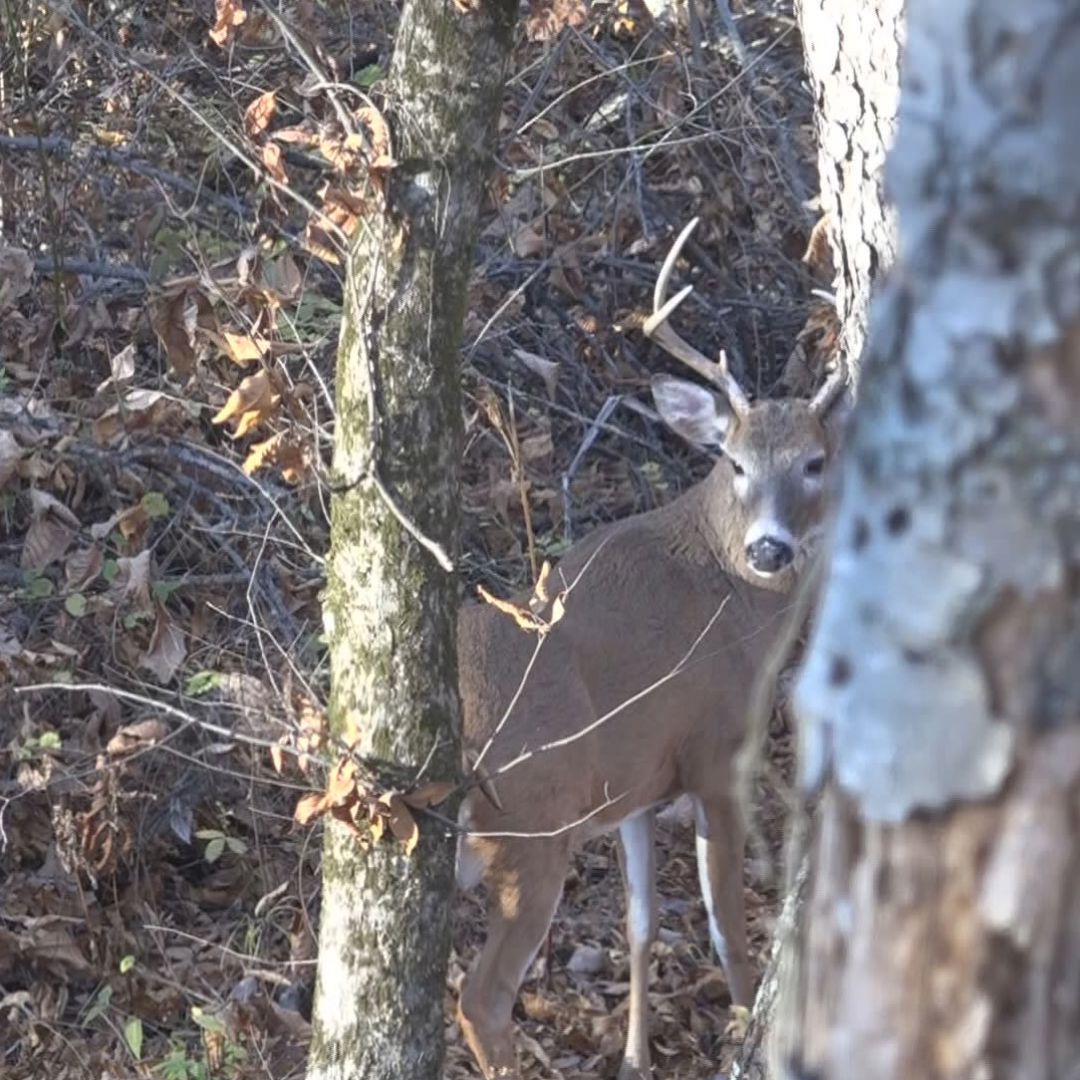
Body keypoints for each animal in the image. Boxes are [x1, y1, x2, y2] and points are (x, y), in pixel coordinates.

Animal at [455, 218, 846, 1080]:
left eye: (817, 462)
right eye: (734, 461)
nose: (770, 549)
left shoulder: (635, 785)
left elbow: (640, 923)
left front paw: (635, 1055)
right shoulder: (716, 751)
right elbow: (726, 926)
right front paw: (744, 1024)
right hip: (529, 829)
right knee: (481, 999)